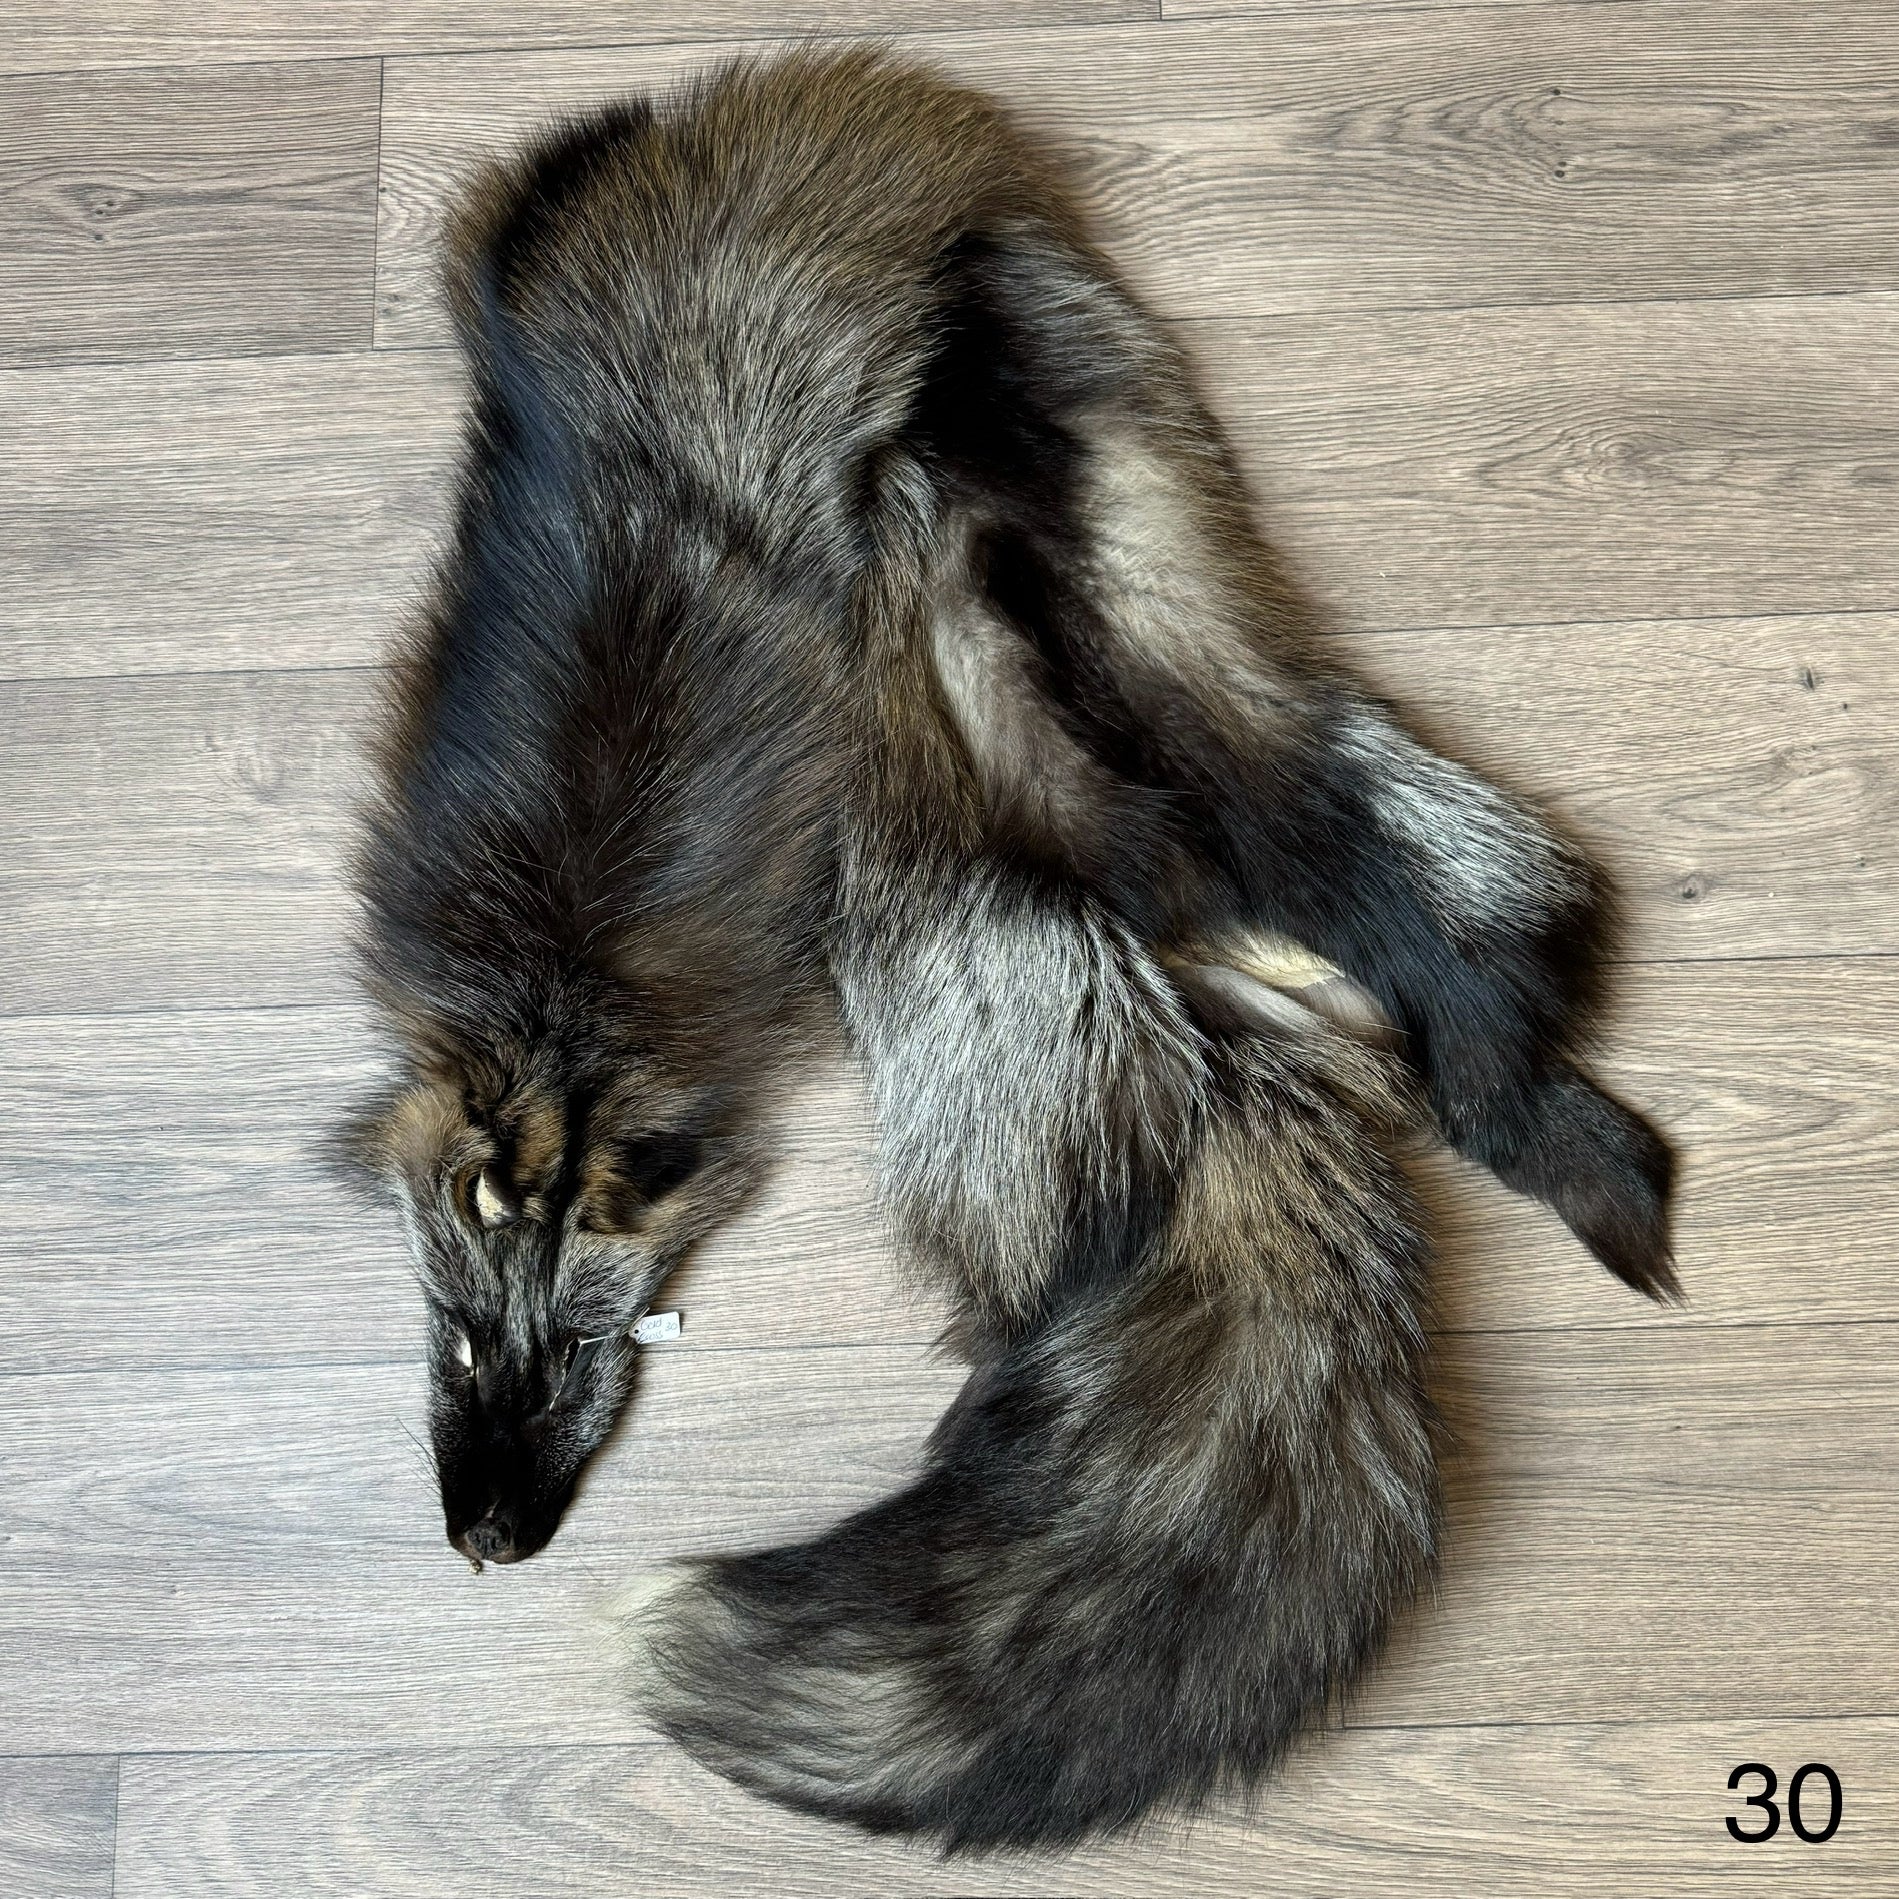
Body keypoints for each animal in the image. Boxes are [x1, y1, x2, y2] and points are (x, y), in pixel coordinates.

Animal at [345, 49, 1676, 1851]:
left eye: (576, 1350)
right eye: (468, 1337)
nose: (485, 1536)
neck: (562, 1001)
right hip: (1170, 607)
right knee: (1352, 844)